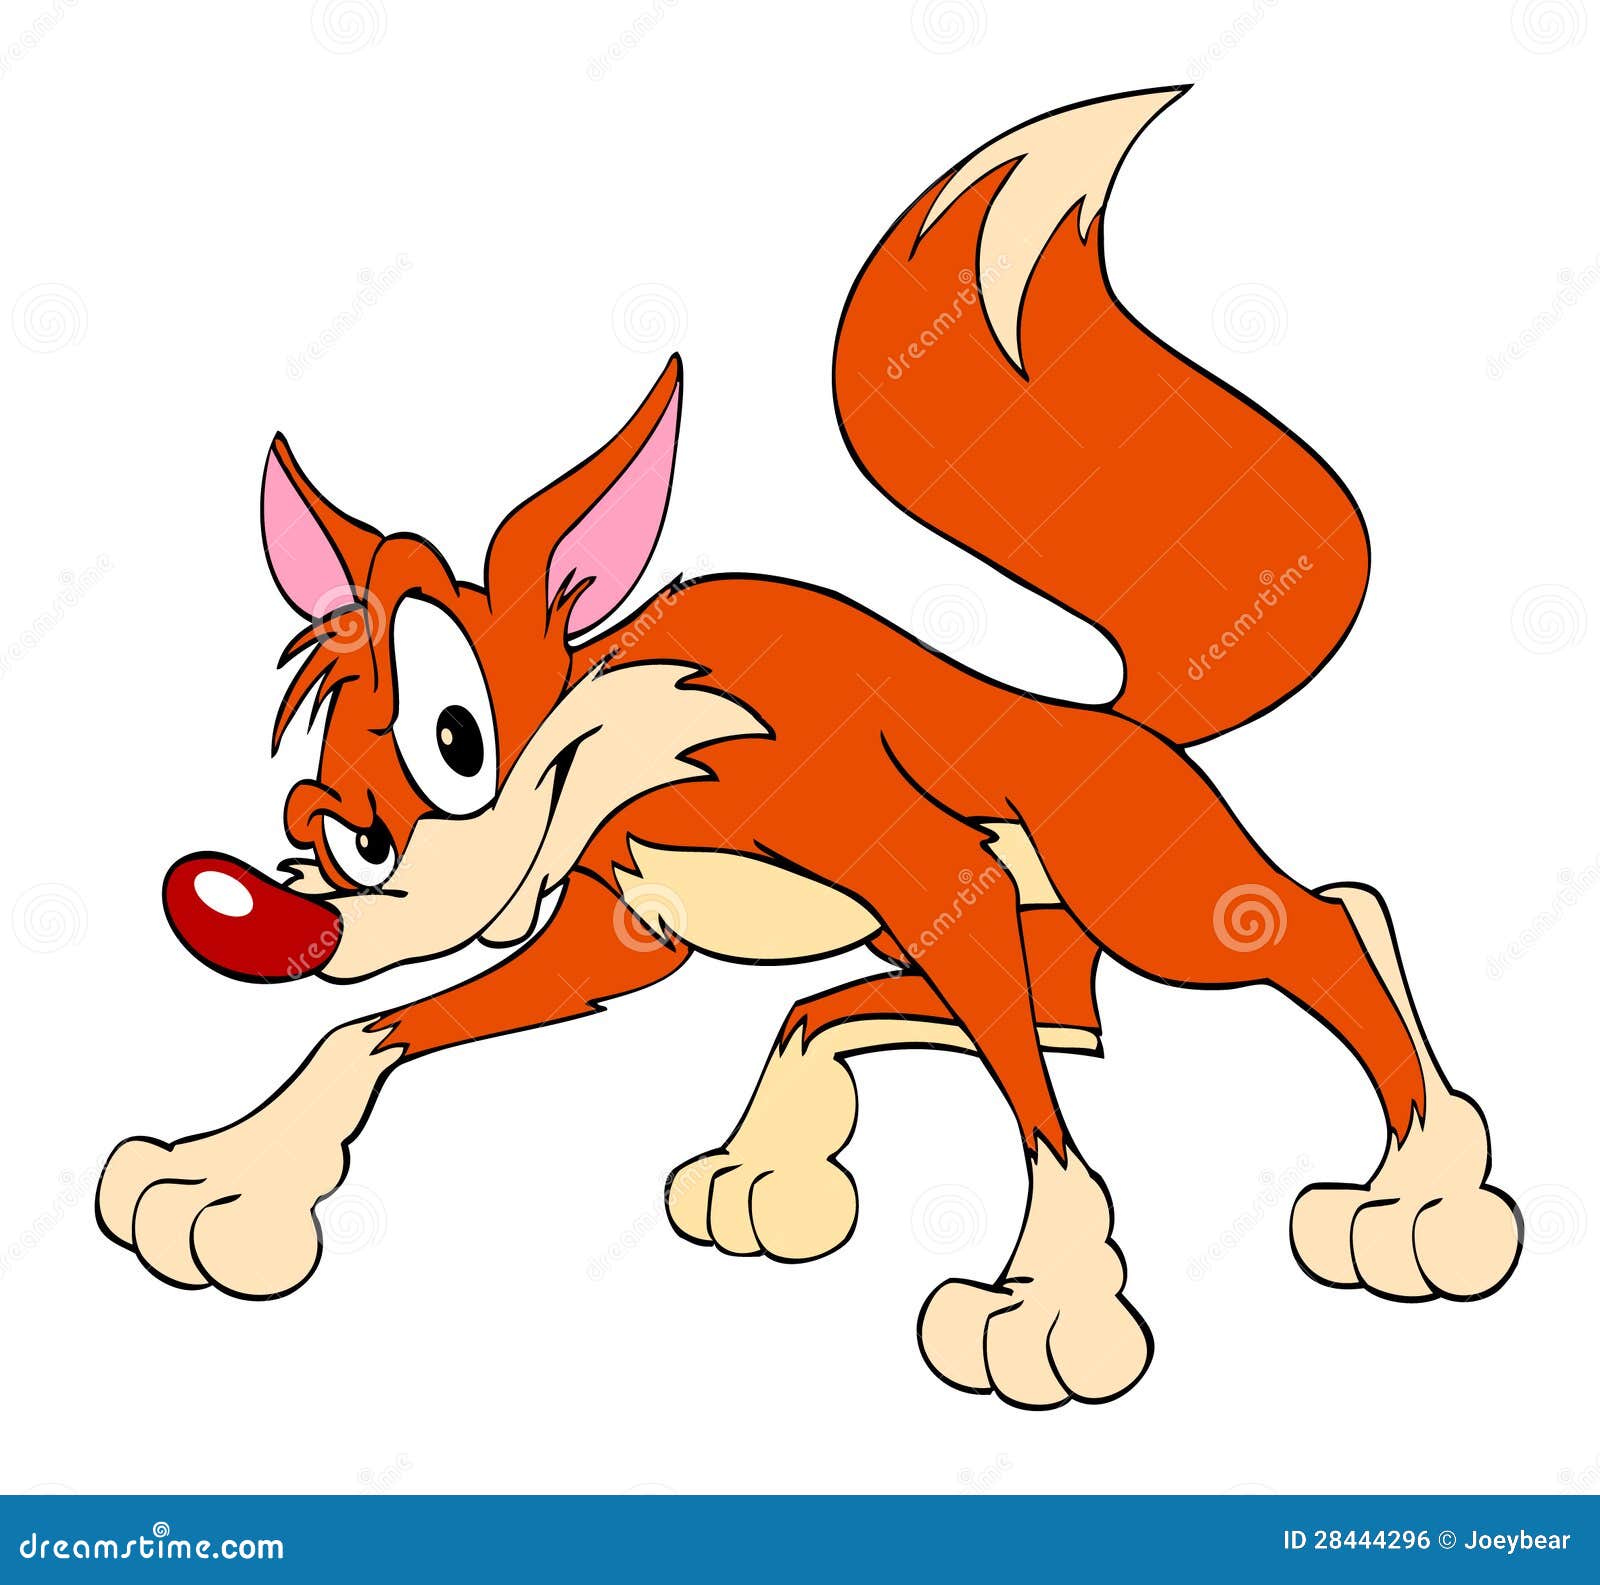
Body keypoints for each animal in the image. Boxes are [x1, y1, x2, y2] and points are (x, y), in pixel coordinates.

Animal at [97, 87, 1521, 1409]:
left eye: (458, 740)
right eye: (328, 777)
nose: (314, 886)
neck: (642, 755)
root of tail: (1116, 719)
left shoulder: (914, 861)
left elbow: (1043, 1131)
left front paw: (1047, 1310)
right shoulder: (624, 922)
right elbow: (372, 1032)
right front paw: (224, 1180)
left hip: (1136, 893)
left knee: (1321, 925)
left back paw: (1418, 1195)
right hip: (1036, 934)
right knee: (988, 1018)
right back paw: (766, 1162)